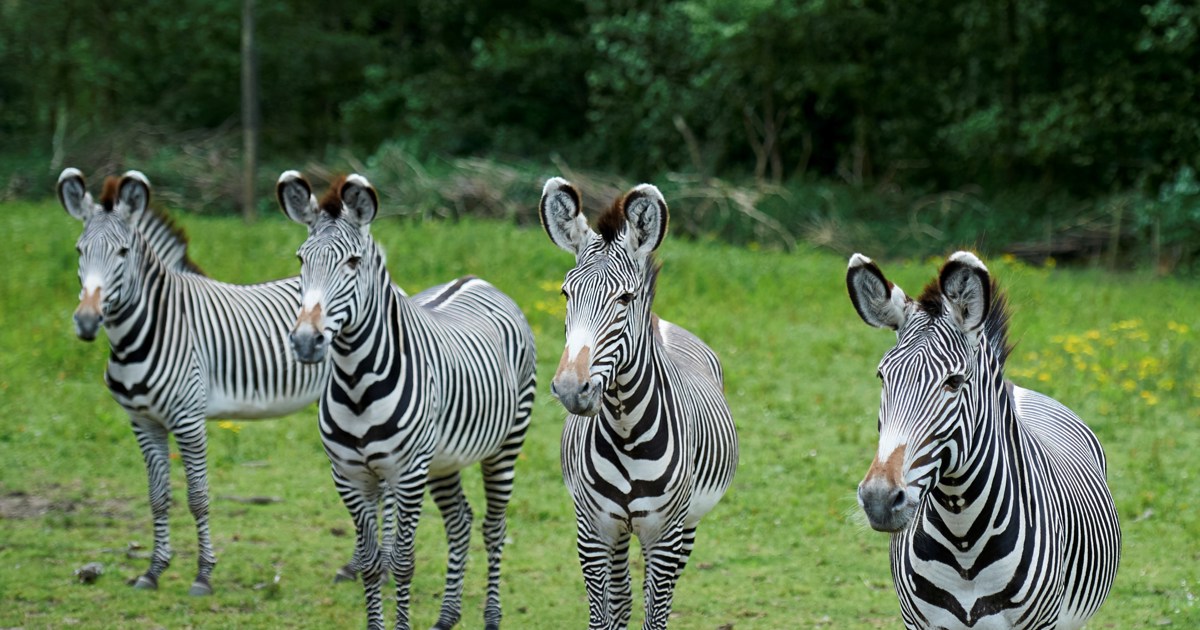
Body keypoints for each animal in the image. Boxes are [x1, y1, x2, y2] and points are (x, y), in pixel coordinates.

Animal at [58, 168, 336, 596]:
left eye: (122, 253)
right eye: (78, 250)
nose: (87, 322)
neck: (150, 328)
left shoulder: (188, 419)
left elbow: (198, 496)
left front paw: (204, 574)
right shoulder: (143, 422)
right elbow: (158, 497)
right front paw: (153, 571)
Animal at [277, 171, 536, 630]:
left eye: (352, 262)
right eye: (301, 260)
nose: (306, 342)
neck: (356, 383)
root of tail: (477, 278)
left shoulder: (407, 472)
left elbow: (401, 561)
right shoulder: (349, 475)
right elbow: (370, 561)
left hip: (506, 444)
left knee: (494, 527)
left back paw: (491, 616)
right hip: (444, 460)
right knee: (460, 522)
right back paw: (447, 616)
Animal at [539, 178, 738, 630]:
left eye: (626, 299)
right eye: (565, 293)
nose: (571, 389)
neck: (626, 430)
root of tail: (660, 322)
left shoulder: (664, 535)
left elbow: (655, 615)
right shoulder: (593, 531)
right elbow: (604, 614)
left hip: (685, 526)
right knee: (622, 598)